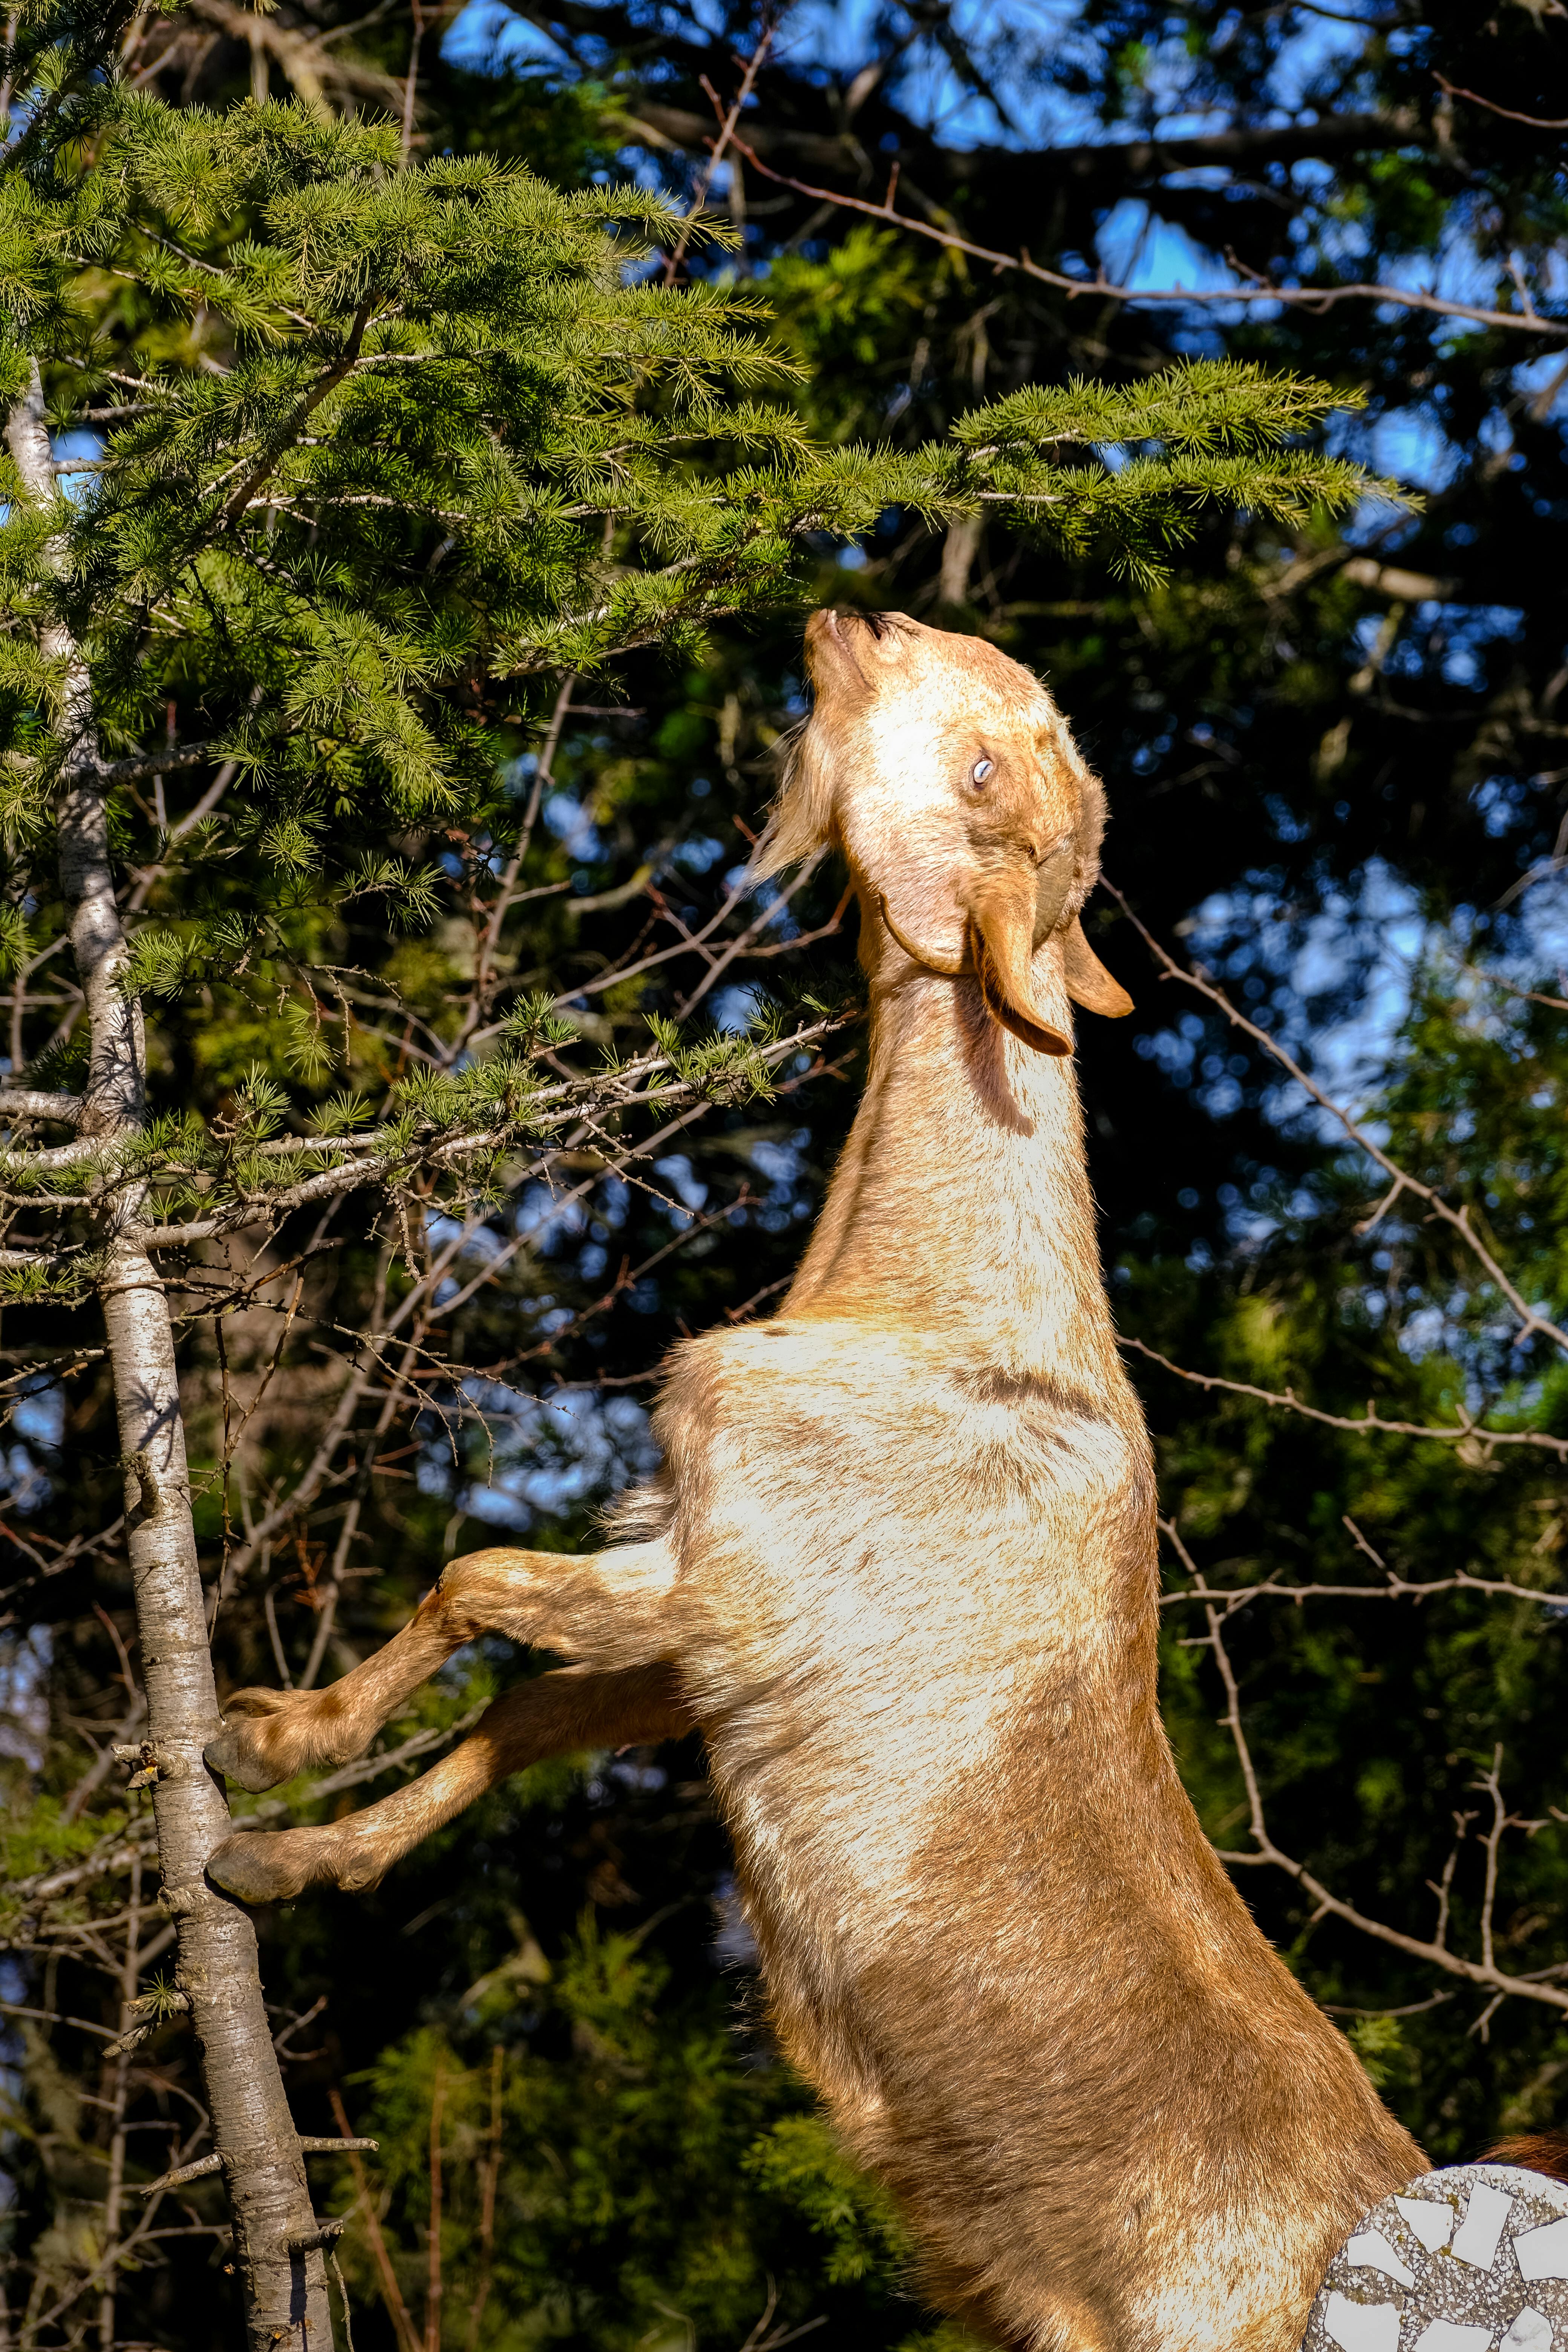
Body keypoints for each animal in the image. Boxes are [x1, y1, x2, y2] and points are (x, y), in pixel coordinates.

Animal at [207, 609, 1423, 2352]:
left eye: (980, 770)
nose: (877, 617)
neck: (928, 1302)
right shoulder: (704, 1641)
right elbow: (517, 1722)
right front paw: (281, 1840)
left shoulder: (734, 1590)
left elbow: (474, 1588)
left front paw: (264, 1745)